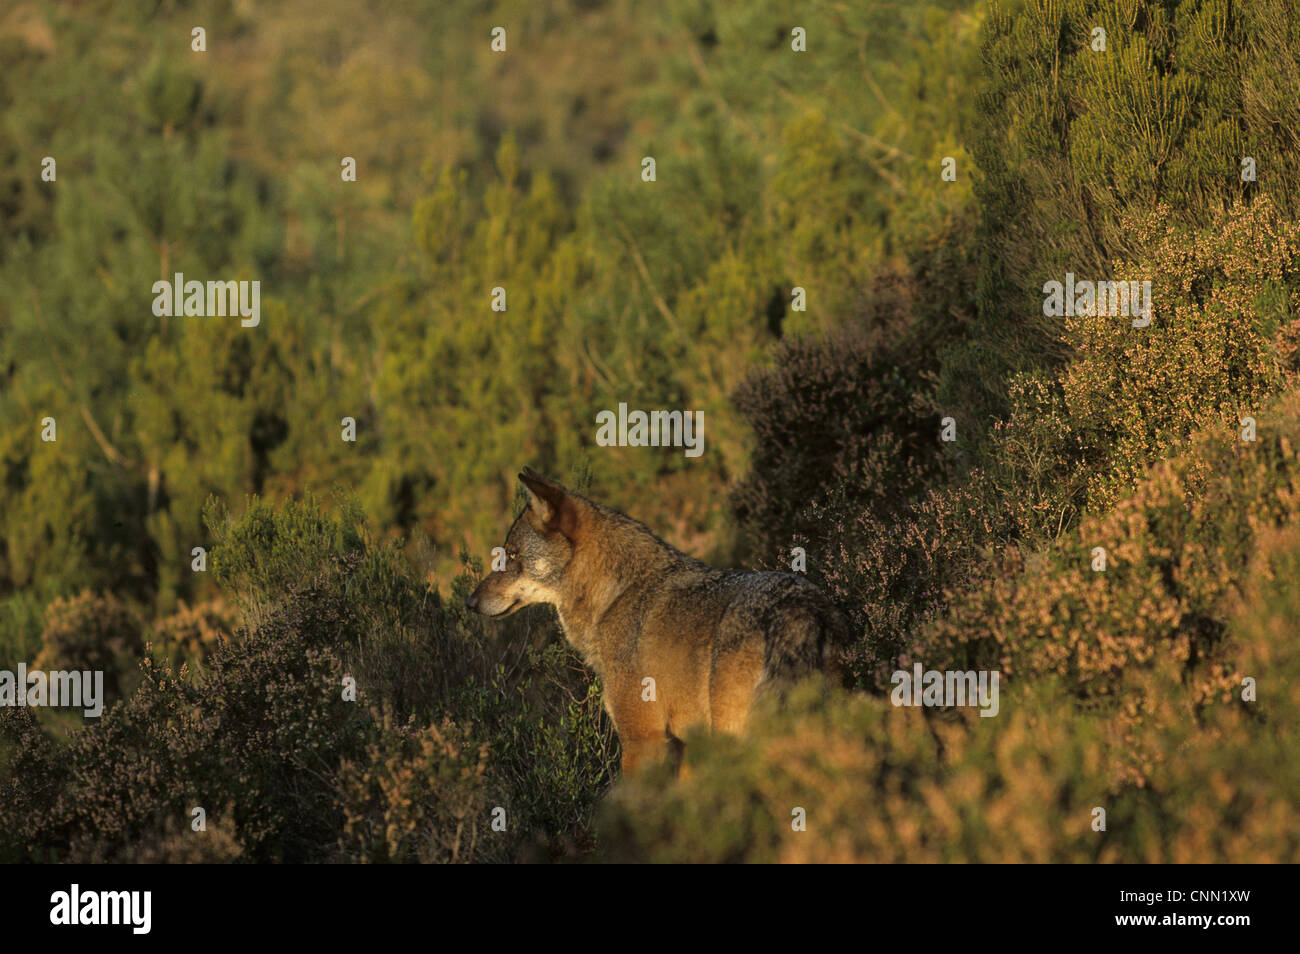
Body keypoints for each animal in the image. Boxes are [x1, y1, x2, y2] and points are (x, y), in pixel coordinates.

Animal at [466, 468, 852, 773]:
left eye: (511, 555)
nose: (470, 602)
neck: (615, 595)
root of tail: (800, 608)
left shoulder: (643, 739)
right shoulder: (687, 743)